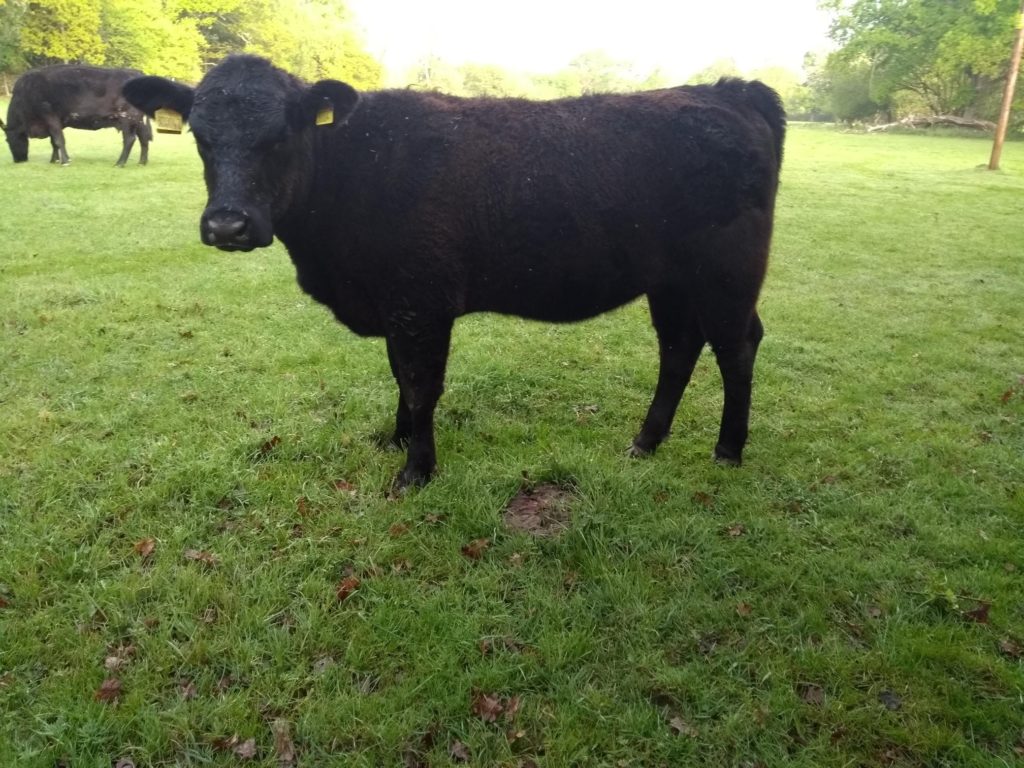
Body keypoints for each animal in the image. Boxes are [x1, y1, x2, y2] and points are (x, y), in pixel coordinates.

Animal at [2, 64, 151, 166]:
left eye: (8, 140)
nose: (18, 160)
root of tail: (137, 72)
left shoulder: (50, 117)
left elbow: (58, 140)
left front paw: (65, 161)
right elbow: (54, 142)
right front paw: (54, 160)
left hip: (127, 118)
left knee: (129, 139)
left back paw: (119, 163)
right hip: (139, 121)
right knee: (144, 139)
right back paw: (141, 162)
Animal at [123, 55, 785, 490]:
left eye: (281, 136)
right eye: (202, 138)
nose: (227, 226)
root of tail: (731, 91)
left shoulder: (420, 301)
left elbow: (420, 385)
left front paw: (415, 470)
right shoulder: (395, 305)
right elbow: (398, 376)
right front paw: (395, 438)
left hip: (726, 275)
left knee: (736, 347)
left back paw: (728, 450)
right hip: (670, 280)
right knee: (678, 348)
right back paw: (645, 442)